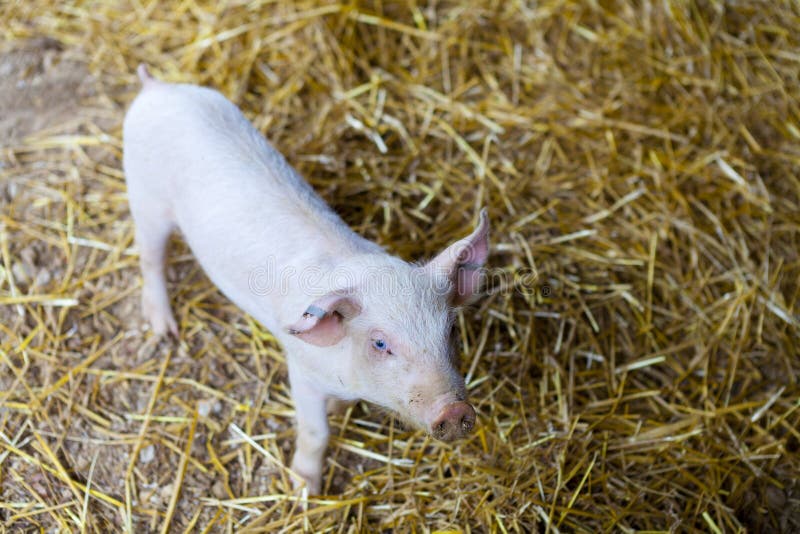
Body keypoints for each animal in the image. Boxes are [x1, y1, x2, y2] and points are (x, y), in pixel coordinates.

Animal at [123, 65, 489, 494]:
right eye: (380, 343)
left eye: (450, 330)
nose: (455, 410)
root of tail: (155, 88)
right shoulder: (301, 370)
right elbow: (317, 432)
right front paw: (302, 490)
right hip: (145, 199)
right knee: (150, 258)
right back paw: (165, 331)